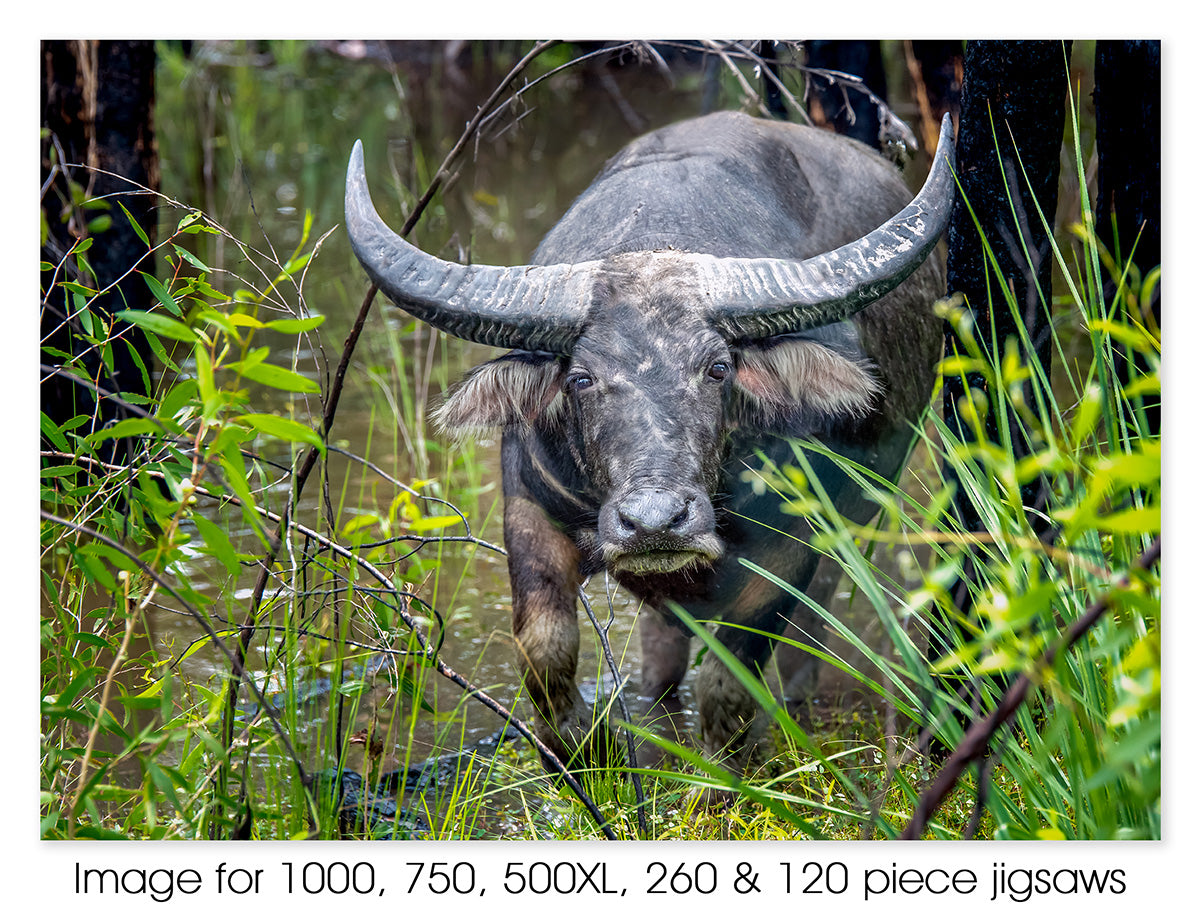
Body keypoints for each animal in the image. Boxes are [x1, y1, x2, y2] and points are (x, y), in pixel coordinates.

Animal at [346, 110, 956, 770]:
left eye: (717, 368)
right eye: (581, 378)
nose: (656, 522)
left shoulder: (793, 542)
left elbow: (730, 676)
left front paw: (723, 769)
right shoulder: (529, 507)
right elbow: (544, 647)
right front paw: (588, 753)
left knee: (804, 642)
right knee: (662, 652)